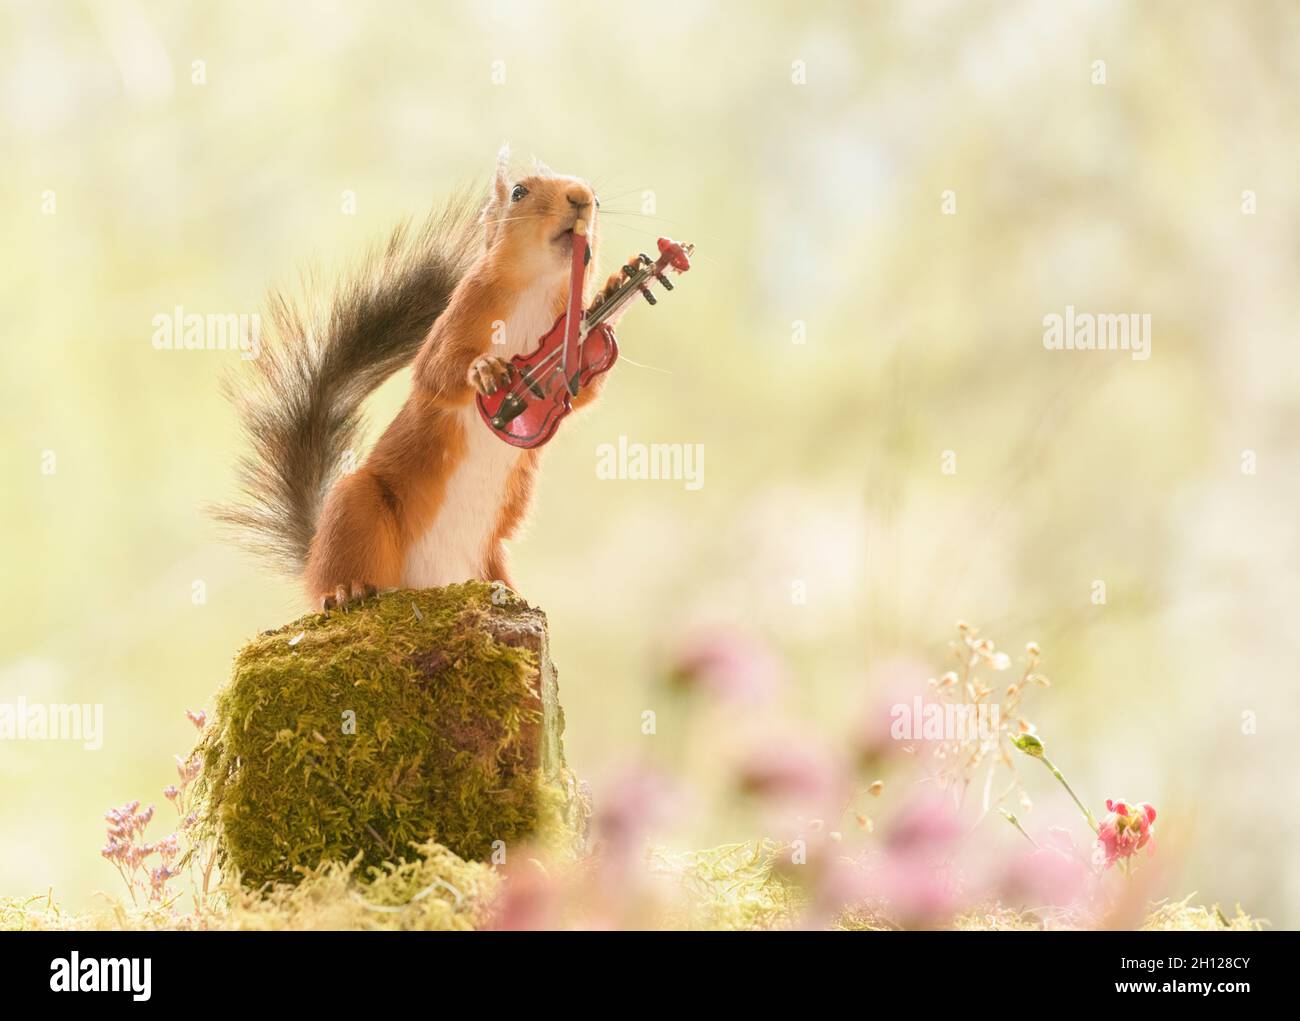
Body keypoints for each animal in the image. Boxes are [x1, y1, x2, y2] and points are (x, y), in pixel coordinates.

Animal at [217, 147, 608, 609]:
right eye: (518, 192)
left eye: (597, 197)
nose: (581, 197)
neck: (537, 285)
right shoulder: (459, 315)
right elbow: (437, 371)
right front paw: (485, 369)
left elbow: (582, 396)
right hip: (358, 509)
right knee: (341, 567)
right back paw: (345, 589)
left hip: (493, 555)